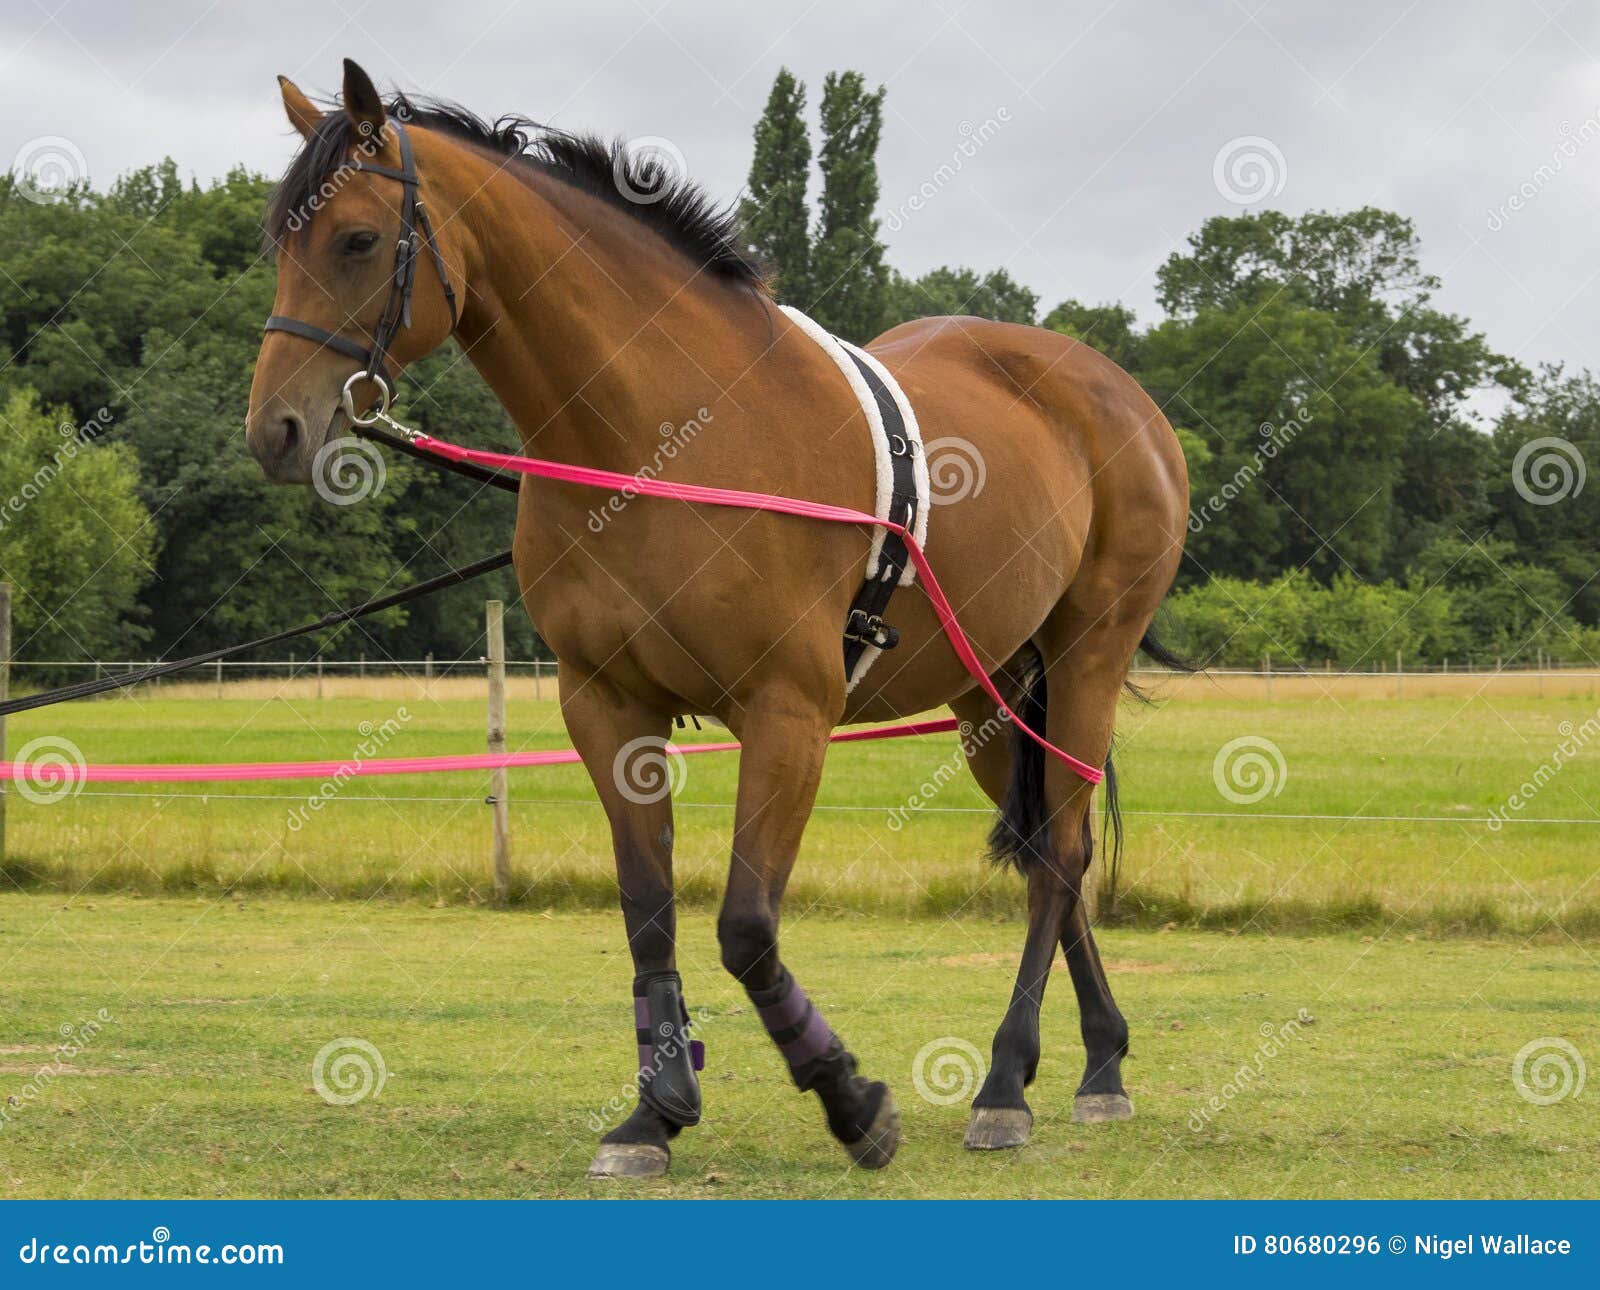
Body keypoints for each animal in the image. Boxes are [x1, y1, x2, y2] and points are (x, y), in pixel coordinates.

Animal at [245, 59, 1189, 1179]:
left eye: (353, 239)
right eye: (278, 241)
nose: (274, 428)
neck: (659, 437)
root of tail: (1112, 388)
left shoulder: (788, 715)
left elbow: (744, 925)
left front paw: (849, 1098)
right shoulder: (607, 708)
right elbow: (649, 918)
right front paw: (655, 1111)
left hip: (1085, 658)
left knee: (1060, 862)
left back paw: (1006, 1082)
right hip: (986, 693)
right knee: (1051, 853)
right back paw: (1099, 1058)